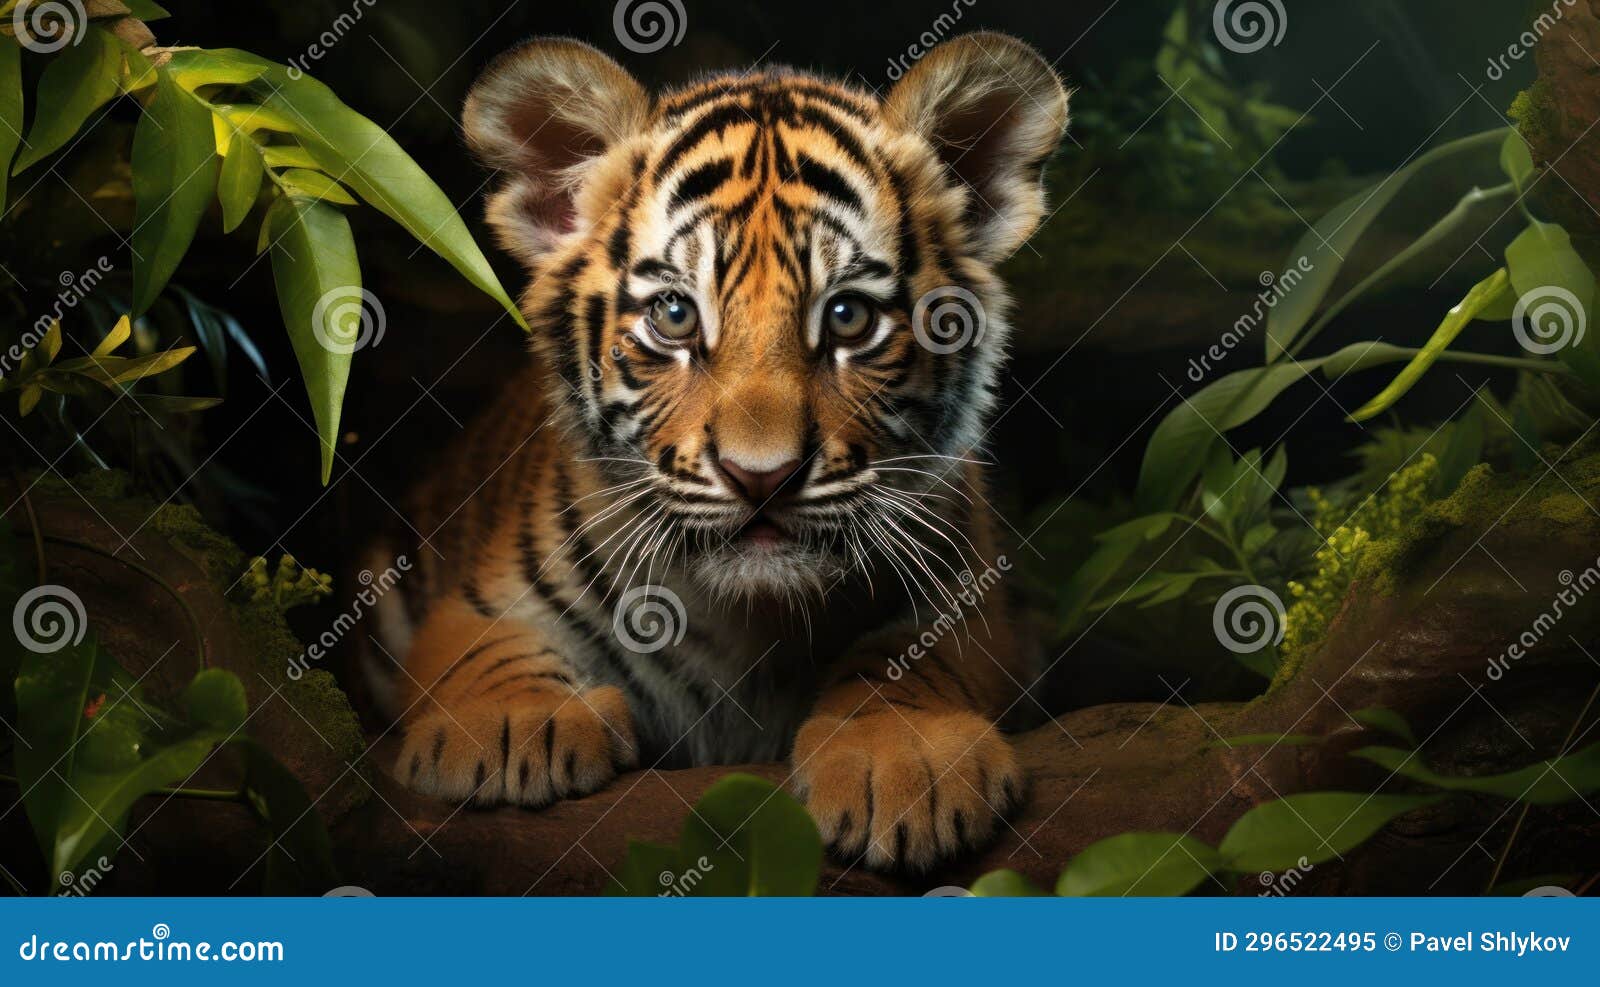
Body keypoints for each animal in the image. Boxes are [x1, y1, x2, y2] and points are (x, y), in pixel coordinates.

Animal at [364, 31, 1070, 872]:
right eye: (674, 314)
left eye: (849, 317)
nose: (760, 477)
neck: (752, 623)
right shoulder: (476, 603)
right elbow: (487, 653)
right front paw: (512, 727)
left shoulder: (975, 602)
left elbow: (911, 662)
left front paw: (908, 761)